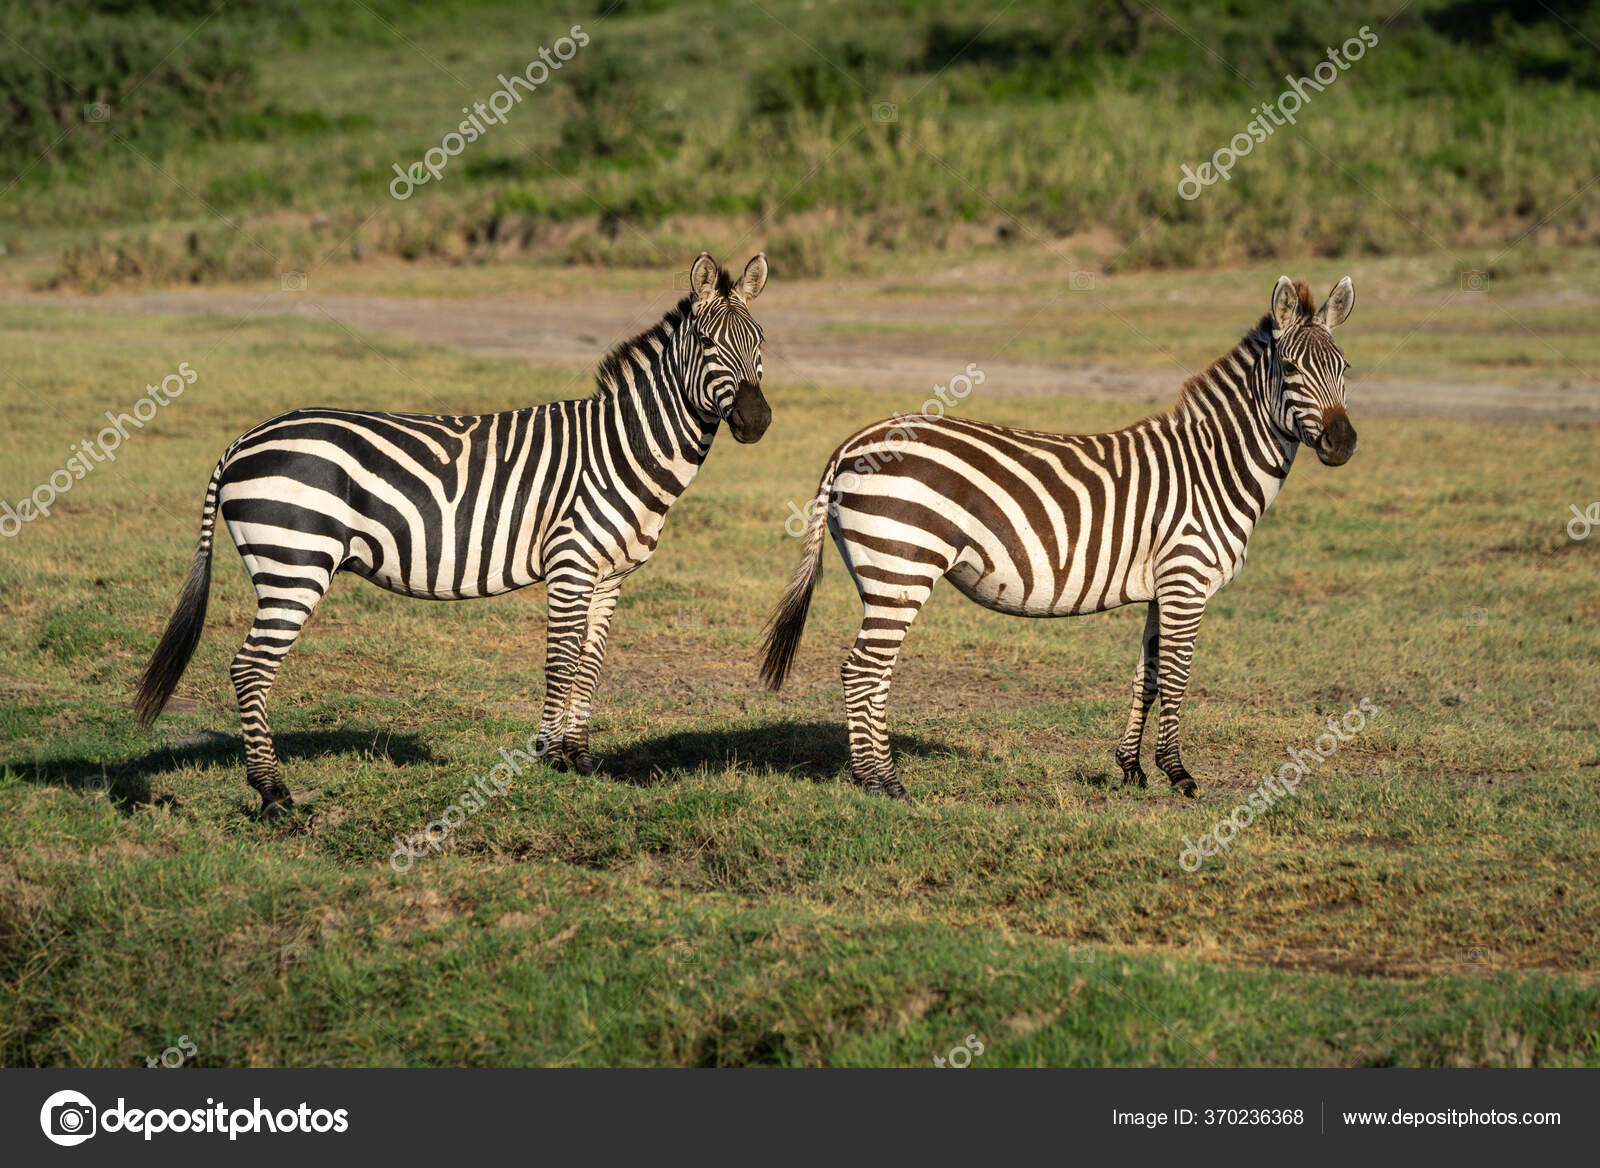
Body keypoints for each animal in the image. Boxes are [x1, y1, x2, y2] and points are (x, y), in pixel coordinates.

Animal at [135, 252, 771, 817]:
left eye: (760, 344)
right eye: (708, 345)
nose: (757, 421)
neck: (624, 449)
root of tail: (241, 441)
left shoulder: (610, 573)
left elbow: (589, 663)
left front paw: (581, 760)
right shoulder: (570, 561)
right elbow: (560, 660)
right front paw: (548, 758)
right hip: (294, 564)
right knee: (250, 668)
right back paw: (273, 795)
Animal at [759, 275, 1357, 799]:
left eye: (1345, 368)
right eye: (1291, 368)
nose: (1343, 443)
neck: (1214, 467)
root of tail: (853, 443)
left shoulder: (1163, 589)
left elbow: (1148, 676)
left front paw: (1131, 769)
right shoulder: (1187, 581)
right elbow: (1177, 677)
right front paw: (1178, 774)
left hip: (884, 576)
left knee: (869, 671)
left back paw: (873, 775)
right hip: (901, 566)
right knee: (863, 670)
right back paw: (882, 782)